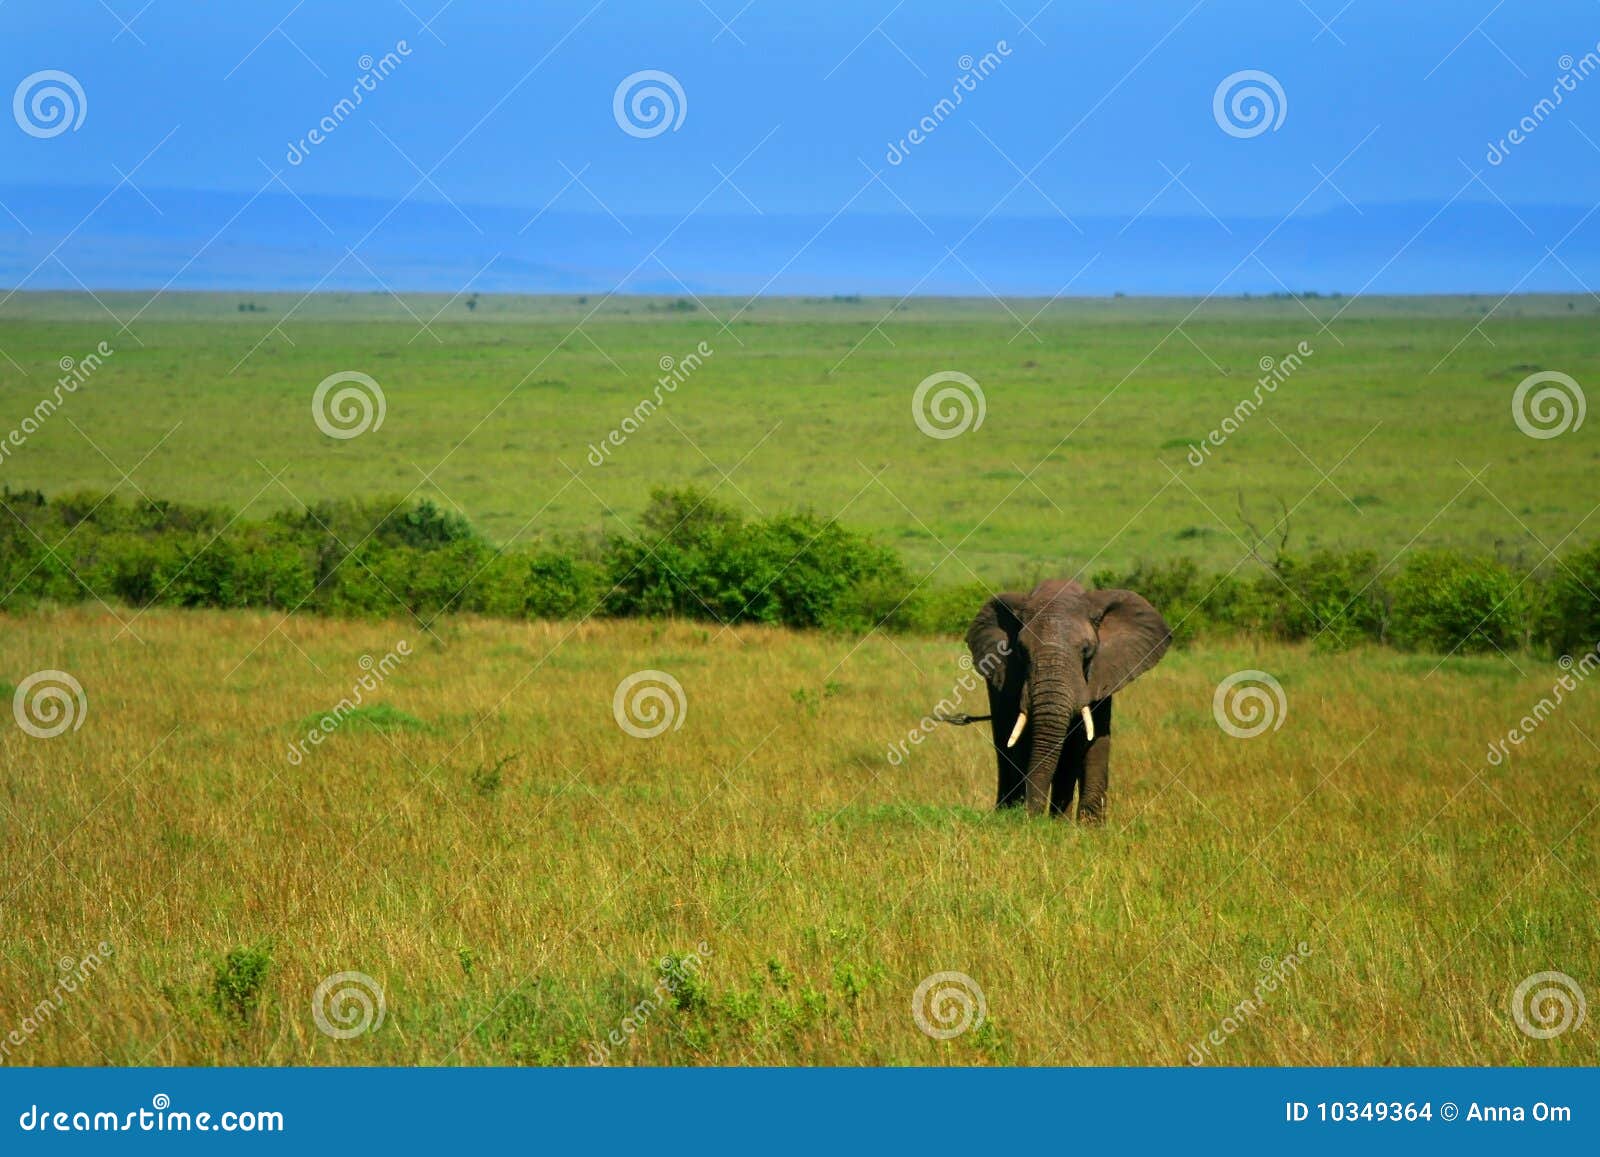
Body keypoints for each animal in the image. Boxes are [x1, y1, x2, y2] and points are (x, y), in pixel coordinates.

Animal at [965, 579, 1171, 822]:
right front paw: (1024, 818)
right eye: (1022, 651)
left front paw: (1088, 827)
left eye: (1087, 651)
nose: (1032, 817)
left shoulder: (1101, 674)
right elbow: (1024, 742)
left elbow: (1094, 739)